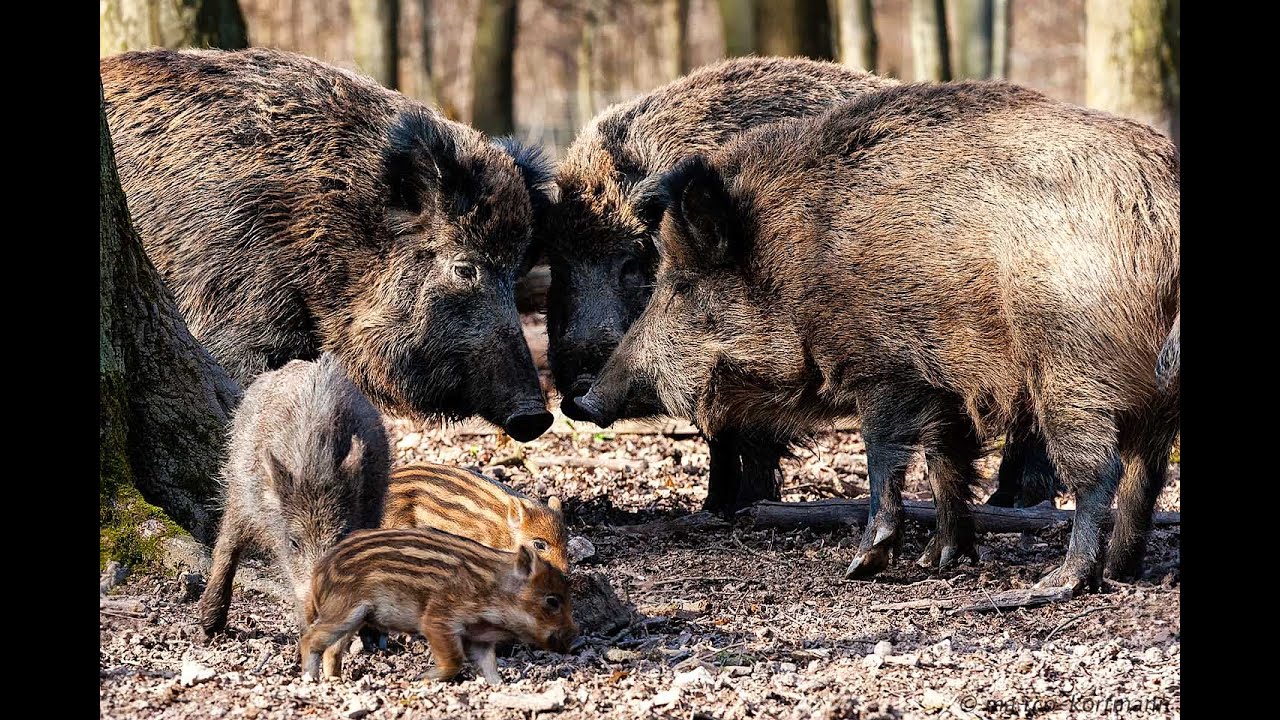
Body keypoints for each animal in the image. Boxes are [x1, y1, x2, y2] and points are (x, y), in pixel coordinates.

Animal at [199, 354, 390, 637]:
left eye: (341, 538)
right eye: (294, 542)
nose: (321, 616)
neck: (316, 466)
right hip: (237, 487)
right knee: (227, 543)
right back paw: (209, 626)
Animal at [300, 528, 578, 684]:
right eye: (552, 601)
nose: (574, 638)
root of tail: (318, 573)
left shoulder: (480, 638)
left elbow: (490, 666)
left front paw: (500, 687)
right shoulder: (438, 619)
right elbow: (455, 660)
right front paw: (422, 679)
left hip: (354, 618)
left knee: (332, 650)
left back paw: (335, 681)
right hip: (344, 610)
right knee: (310, 639)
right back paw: (310, 680)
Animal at [543, 55, 1055, 512]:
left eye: (632, 262)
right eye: (559, 270)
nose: (580, 391)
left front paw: (744, 506)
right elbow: (718, 435)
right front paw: (712, 508)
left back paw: (1015, 502)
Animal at [575, 81, 1180, 593]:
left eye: (682, 284)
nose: (584, 400)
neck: (794, 262)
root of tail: (1166, 211)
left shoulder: (886, 369)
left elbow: (885, 454)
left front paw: (861, 565)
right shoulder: (943, 385)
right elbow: (944, 463)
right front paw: (938, 562)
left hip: (1072, 367)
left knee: (1101, 470)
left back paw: (1060, 582)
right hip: (1146, 393)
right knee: (1145, 476)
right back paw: (1120, 571)